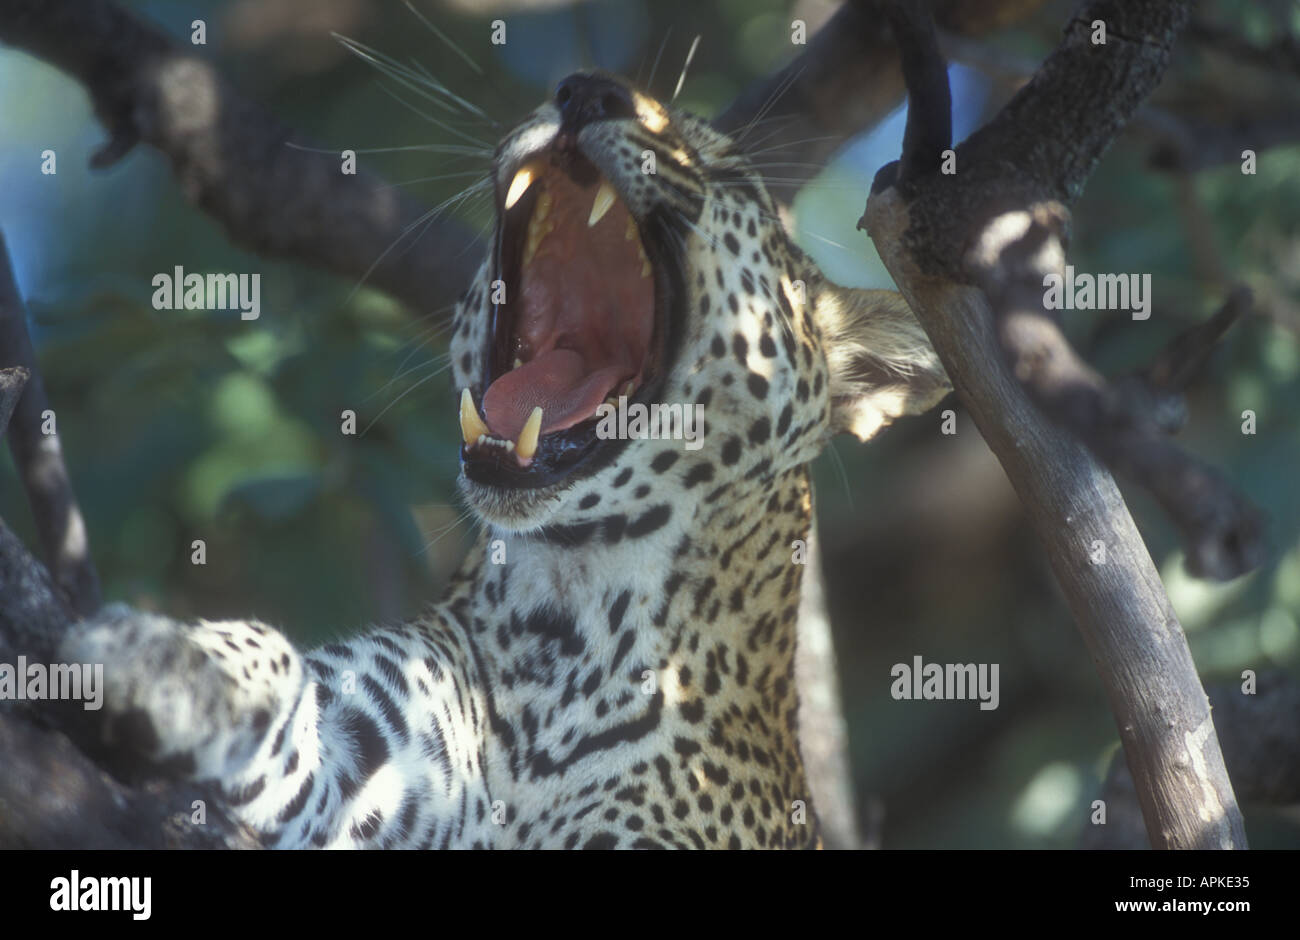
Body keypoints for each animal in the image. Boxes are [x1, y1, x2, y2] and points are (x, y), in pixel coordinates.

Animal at [56, 70, 950, 849]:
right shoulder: (364, 752)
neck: (570, 617)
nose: (587, 88)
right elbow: (276, 661)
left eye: (729, 172)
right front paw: (169, 662)